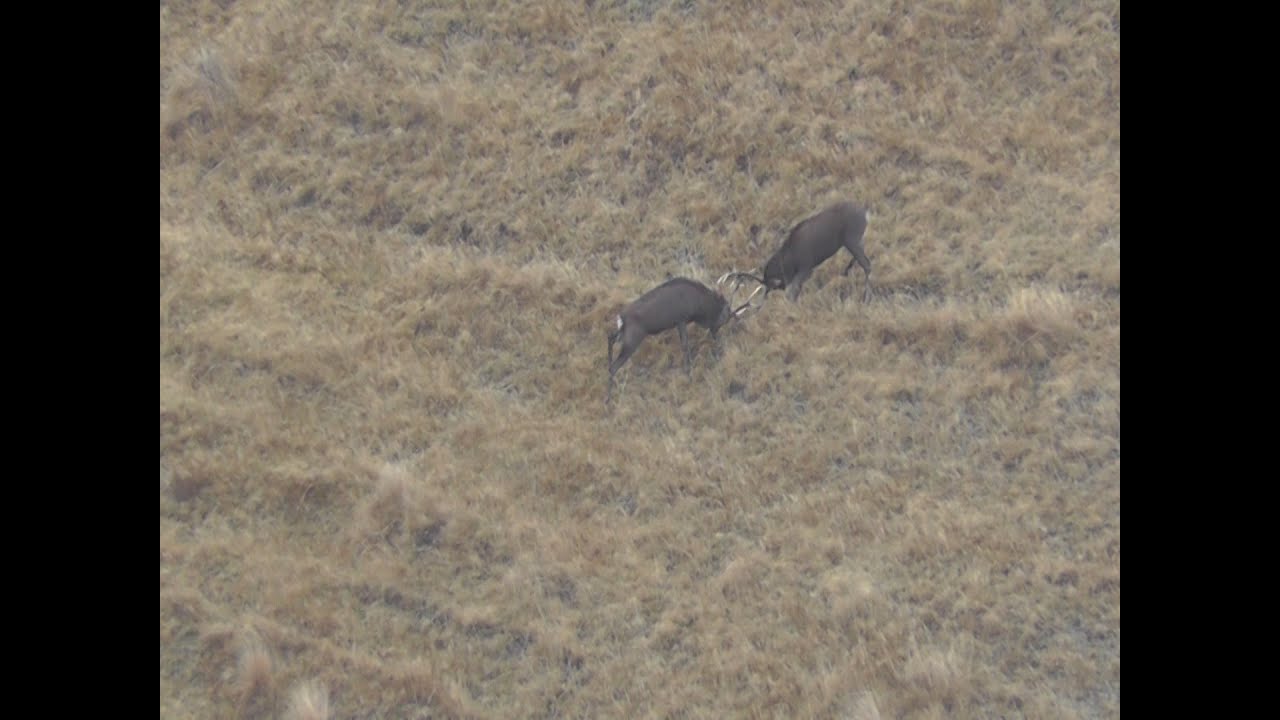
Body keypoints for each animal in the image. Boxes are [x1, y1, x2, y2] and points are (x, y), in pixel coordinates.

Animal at [606, 276, 762, 404]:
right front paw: (688, 374)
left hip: (623, 335)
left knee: (610, 338)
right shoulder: (681, 319)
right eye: (723, 319)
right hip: (632, 339)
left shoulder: (680, 321)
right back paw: (608, 398)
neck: (698, 305)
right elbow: (685, 346)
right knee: (614, 366)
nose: (715, 335)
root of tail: (621, 318)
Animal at [720, 201, 872, 304]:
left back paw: (866, 297)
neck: (789, 255)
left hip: (851, 240)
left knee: (867, 265)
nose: (768, 292)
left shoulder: (806, 268)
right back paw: (847, 271)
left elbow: (793, 292)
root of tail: (864, 212)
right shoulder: (806, 271)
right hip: (854, 242)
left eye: (771, 285)